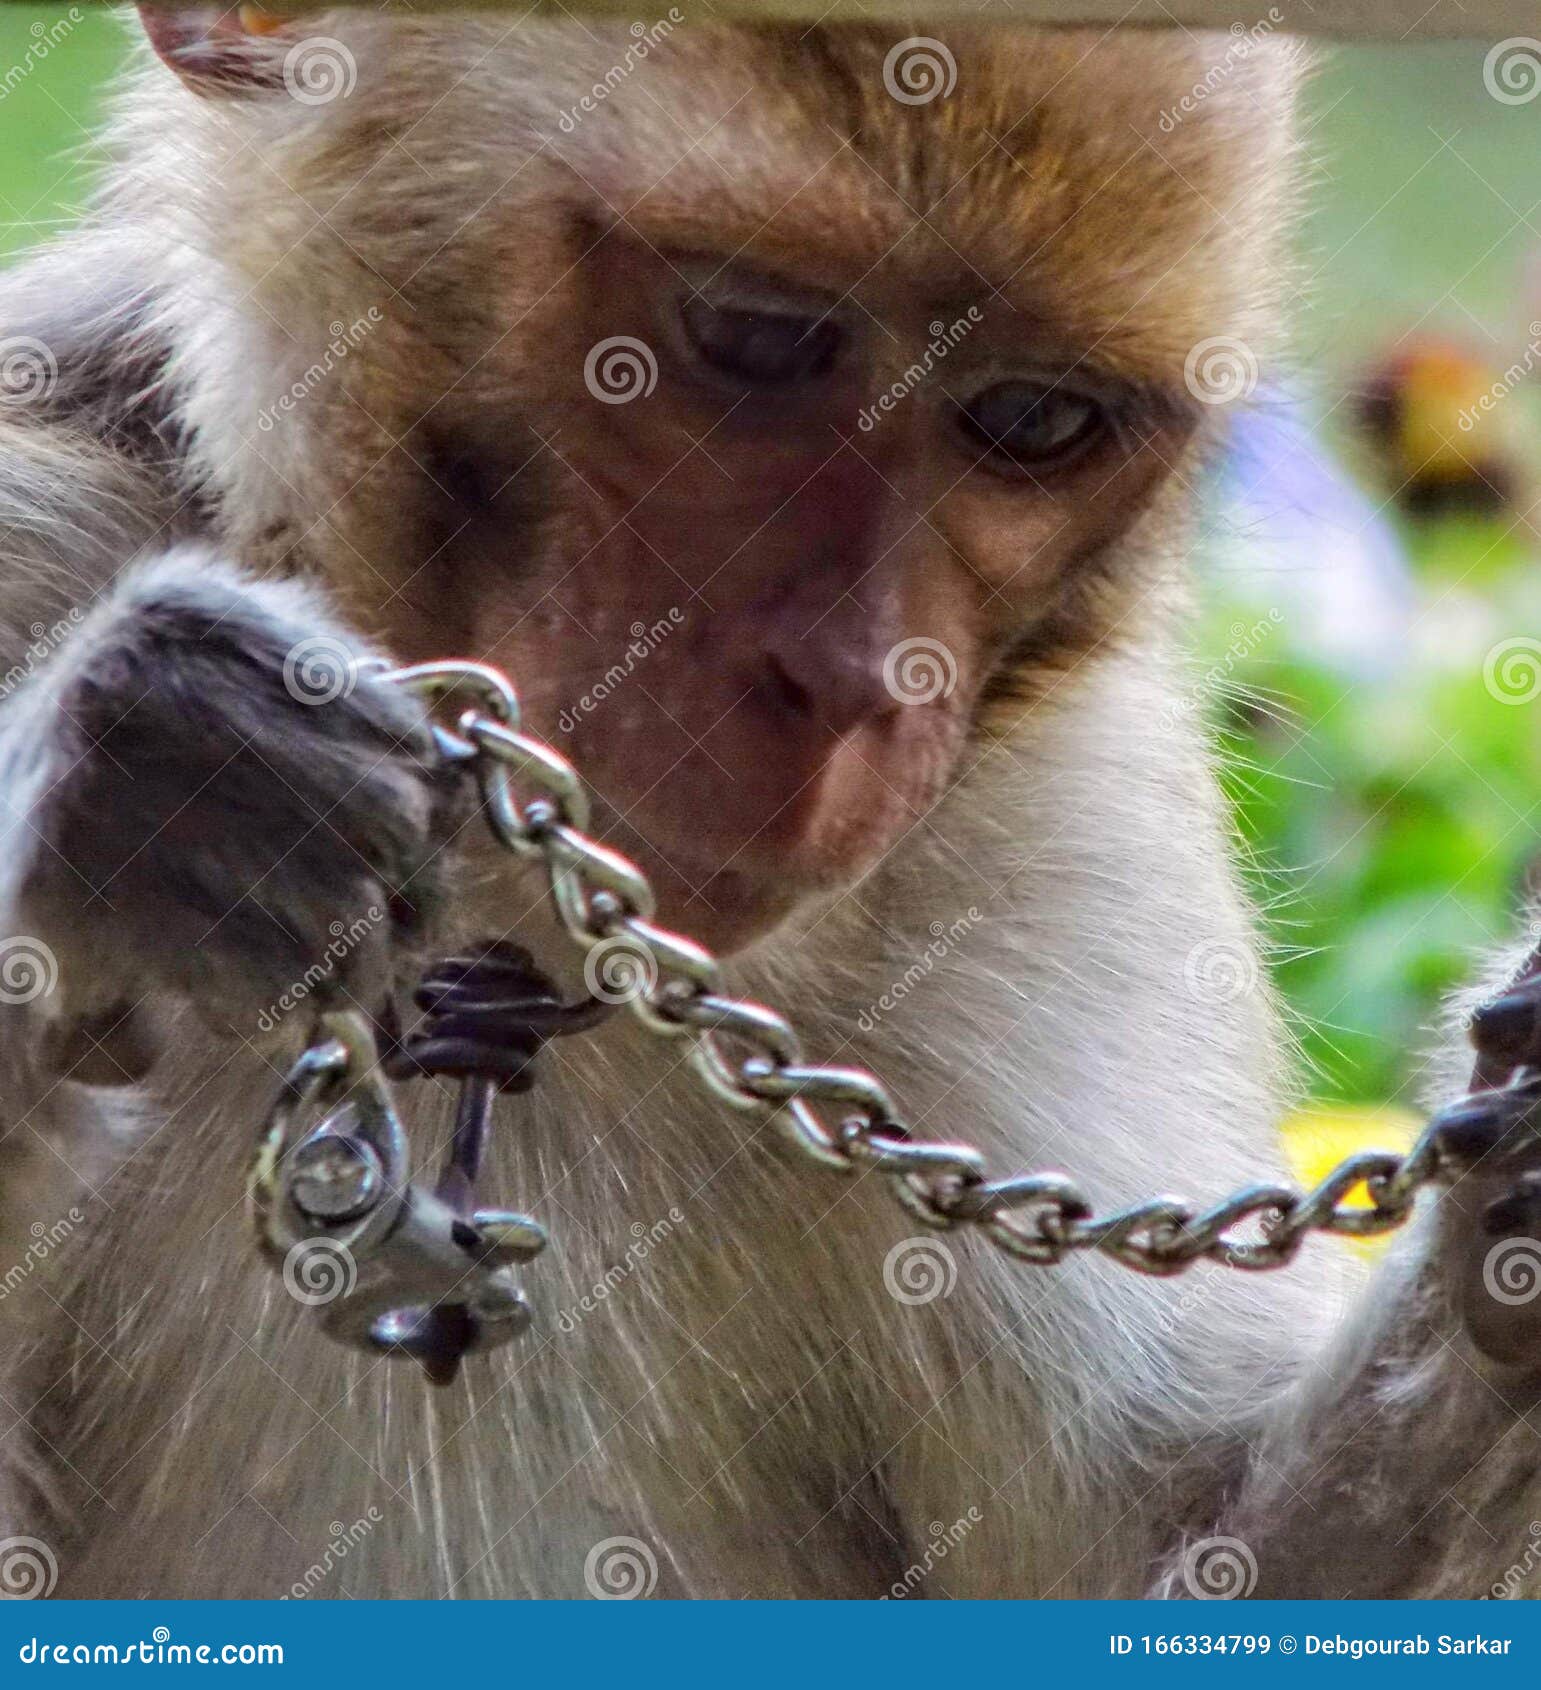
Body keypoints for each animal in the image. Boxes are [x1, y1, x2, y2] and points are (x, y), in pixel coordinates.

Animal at [0, 4, 1536, 1600]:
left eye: (1035, 418)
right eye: (754, 338)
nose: (862, 682)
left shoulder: (1065, 799)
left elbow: (1173, 1559)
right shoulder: (39, 513)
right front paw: (146, 802)